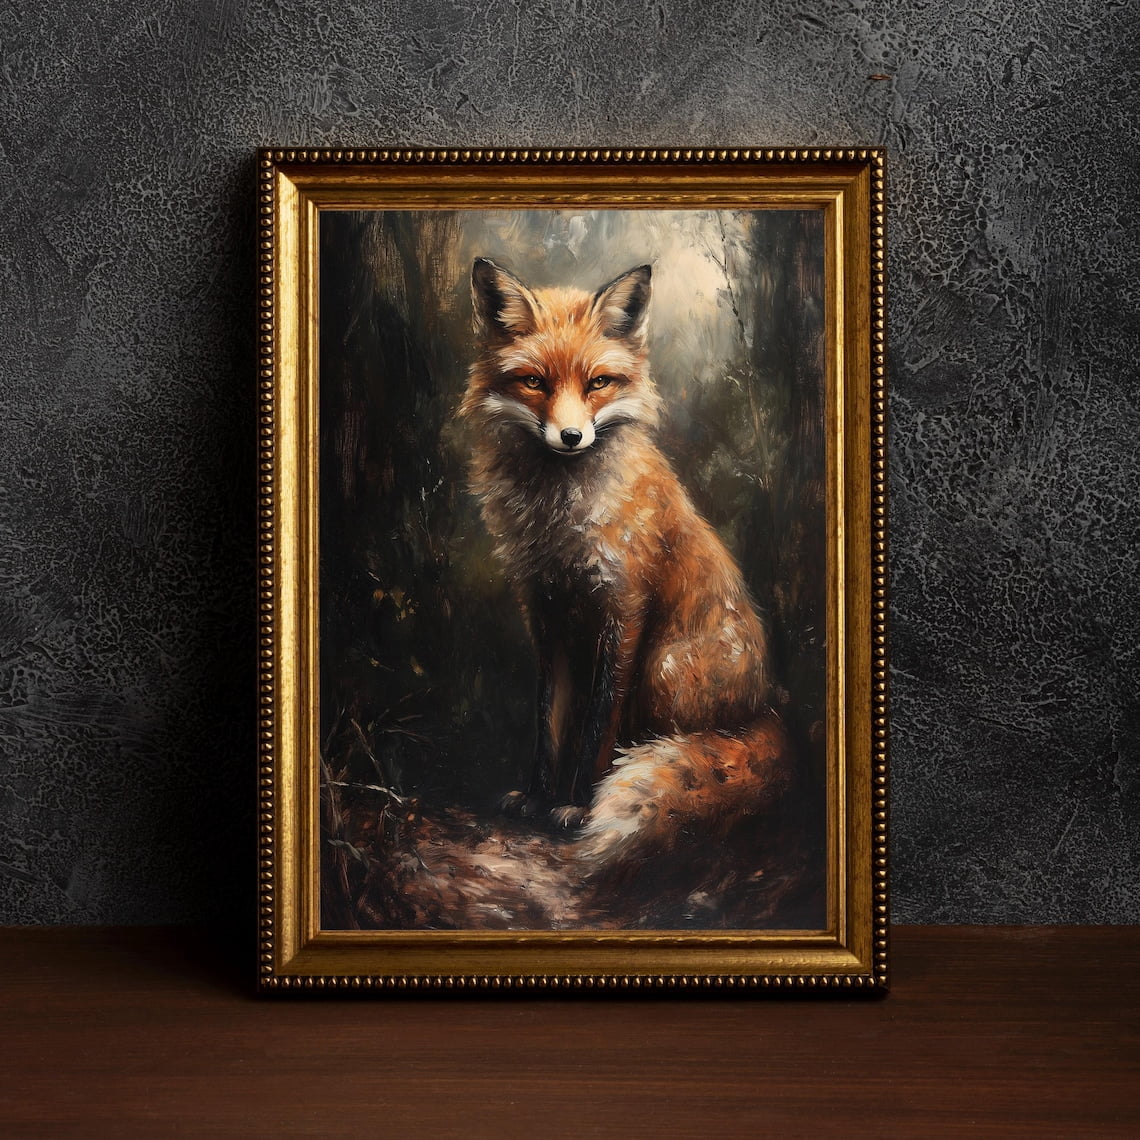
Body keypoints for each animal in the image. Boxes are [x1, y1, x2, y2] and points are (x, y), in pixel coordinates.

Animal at [460, 257, 794, 865]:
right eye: (535, 381)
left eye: (598, 382)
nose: (571, 436)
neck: (560, 520)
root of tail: (767, 705)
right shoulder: (544, 611)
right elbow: (549, 720)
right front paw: (538, 796)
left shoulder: (624, 607)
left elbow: (599, 725)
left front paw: (577, 805)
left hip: (663, 667)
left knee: (670, 739)